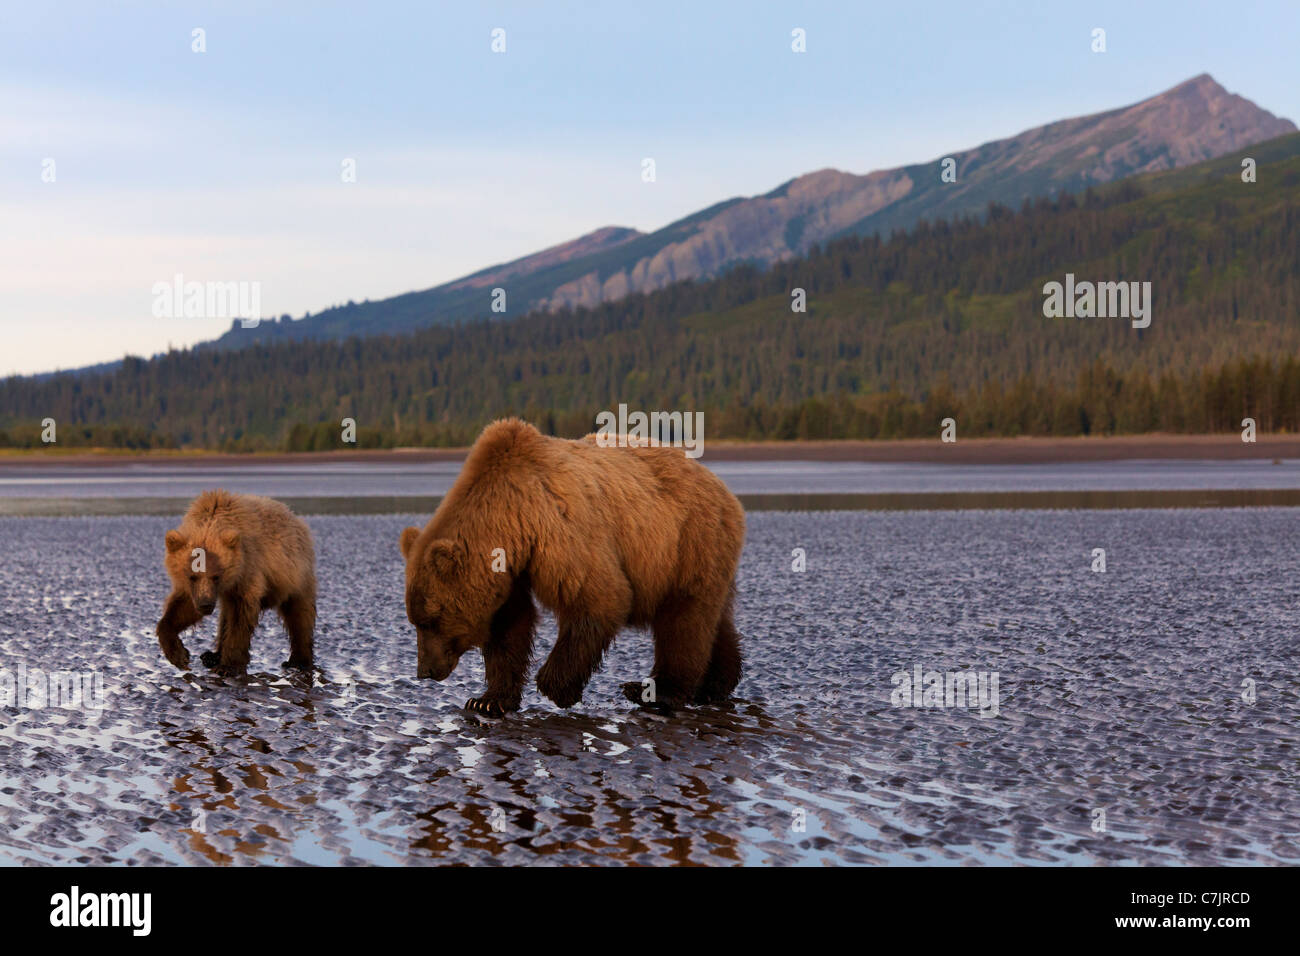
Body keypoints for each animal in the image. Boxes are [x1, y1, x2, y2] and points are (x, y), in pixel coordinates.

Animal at [156, 490, 317, 675]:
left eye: (216, 576)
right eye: (191, 576)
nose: (206, 605)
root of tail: (296, 518)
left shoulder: (247, 568)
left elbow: (240, 615)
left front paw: (228, 666)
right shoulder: (194, 589)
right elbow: (183, 608)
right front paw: (179, 655)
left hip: (296, 573)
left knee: (299, 614)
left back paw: (298, 661)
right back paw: (211, 656)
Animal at [399, 417, 745, 715]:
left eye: (431, 620)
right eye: (415, 621)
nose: (424, 670)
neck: (513, 516)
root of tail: (726, 490)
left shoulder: (560, 531)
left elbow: (600, 597)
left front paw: (557, 688)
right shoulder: (510, 567)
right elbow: (508, 624)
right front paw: (488, 700)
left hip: (688, 540)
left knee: (684, 619)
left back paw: (654, 691)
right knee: (716, 620)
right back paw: (715, 684)